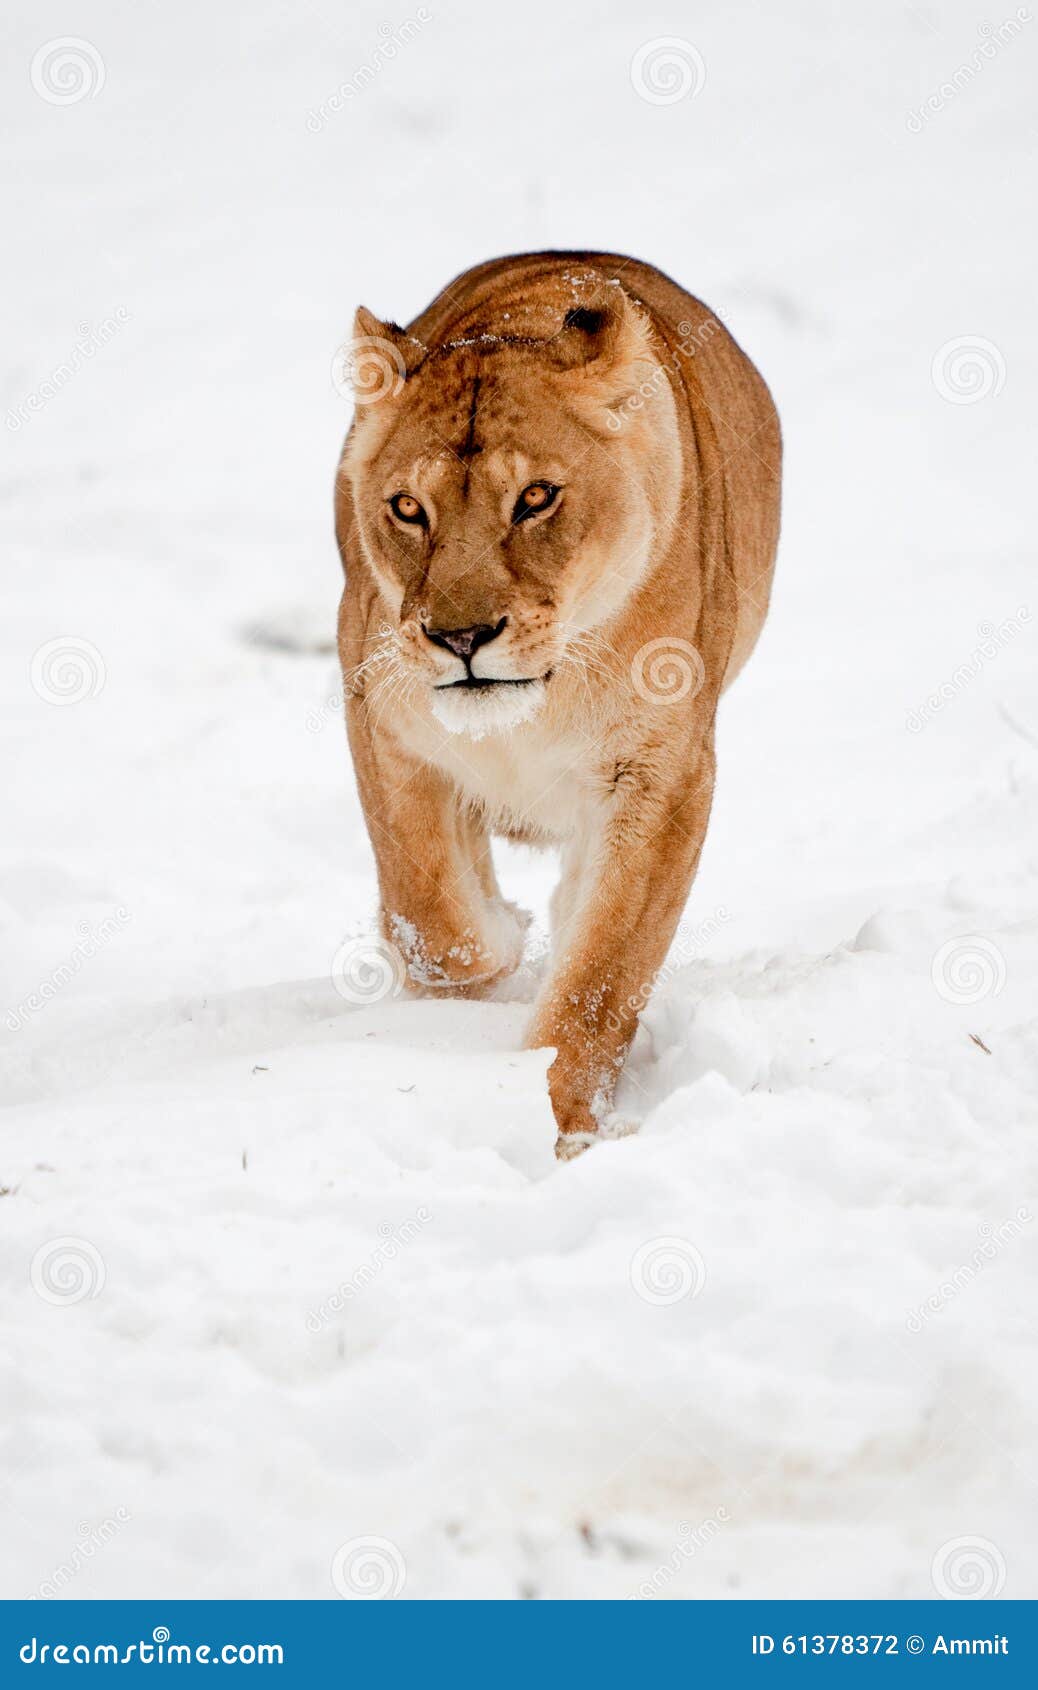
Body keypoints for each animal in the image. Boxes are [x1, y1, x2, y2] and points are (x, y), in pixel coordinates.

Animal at [335, 251, 781, 1152]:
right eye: (408, 508)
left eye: (536, 498)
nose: (462, 636)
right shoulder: (380, 715)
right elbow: (436, 919)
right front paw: (480, 977)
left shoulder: (663, 772)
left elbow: (602, 975)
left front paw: (559, 1120)